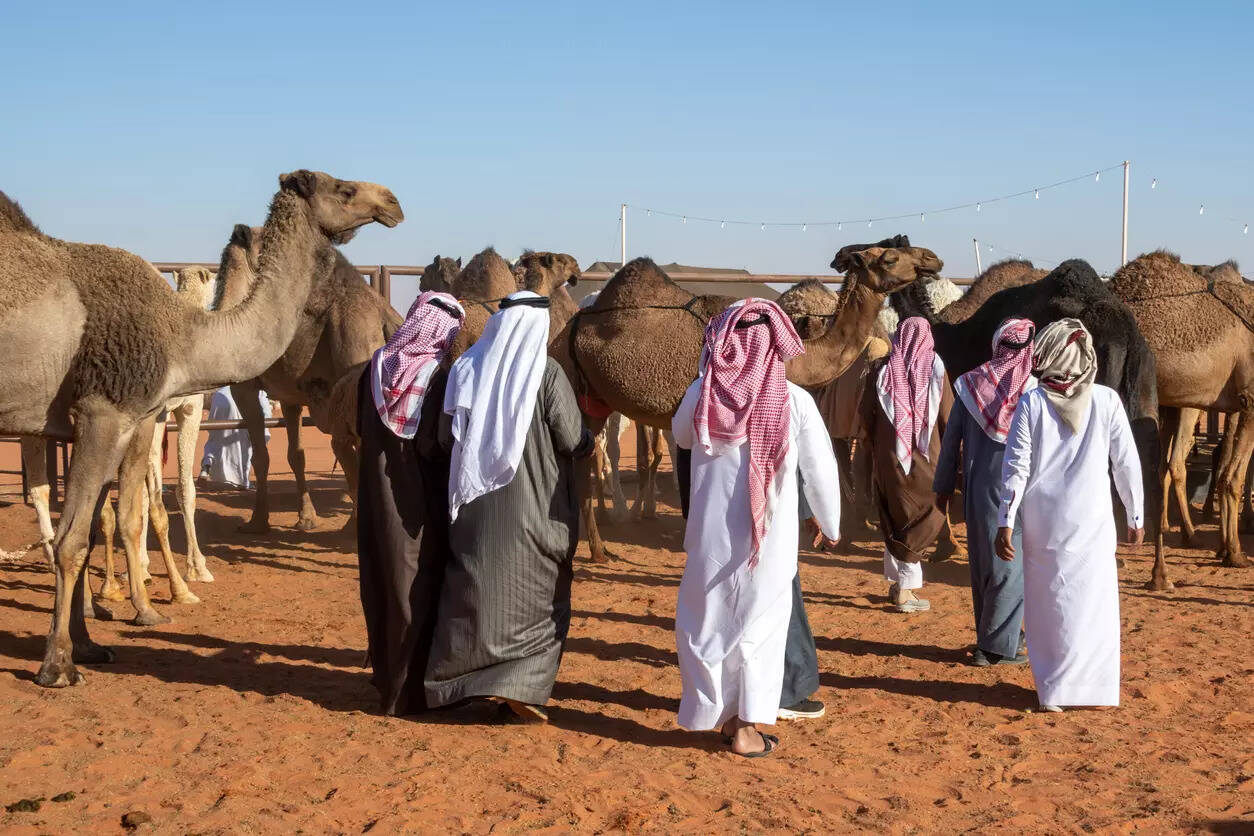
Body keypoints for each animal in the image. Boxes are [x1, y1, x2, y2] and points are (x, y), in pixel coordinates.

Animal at [212, 223, 404, 533]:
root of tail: (386, 317)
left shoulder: (245, 388)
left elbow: (261, 456)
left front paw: (257, 521)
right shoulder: (289, 395)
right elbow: (296, 454)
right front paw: (306, 519)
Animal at [555, 244, 943, 562]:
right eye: (889, 257)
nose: (932, 259)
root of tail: (563, 332)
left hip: (595, 401)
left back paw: (599, 548)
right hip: (573, 386)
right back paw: (593, 548)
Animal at [1110, 251, 1254, 573]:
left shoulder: (1234, 403)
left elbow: (1224, 468)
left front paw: (1224, 548)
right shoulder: (1250, 397)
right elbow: (1235, 477)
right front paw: (1235, 552)